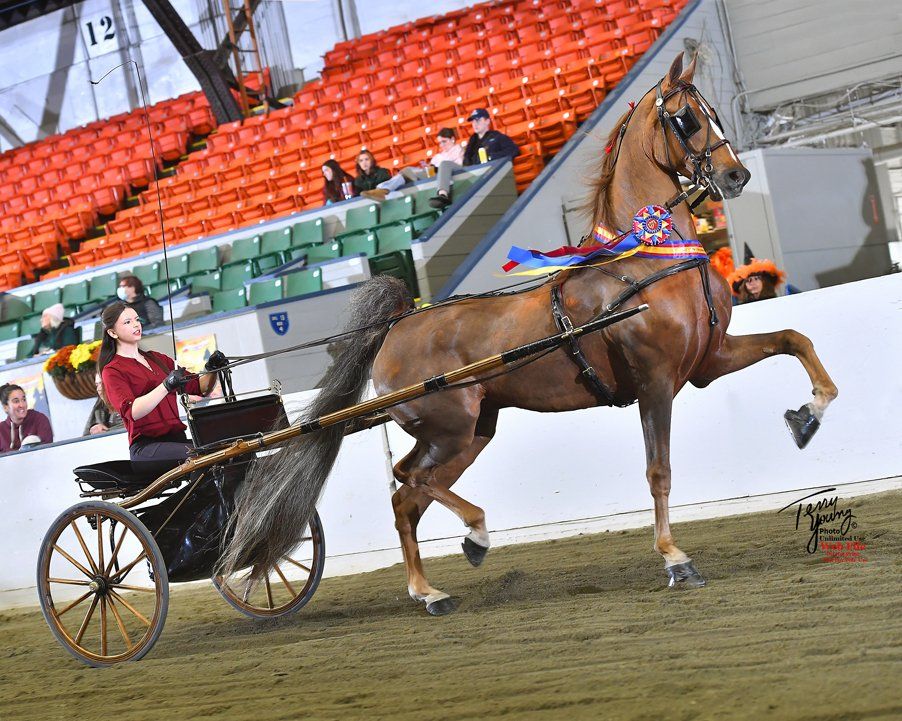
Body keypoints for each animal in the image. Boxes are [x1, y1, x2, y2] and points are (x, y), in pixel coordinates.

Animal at [219, 53, 838, 615]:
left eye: (713, 110)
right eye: (685, 119)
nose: (736, 176)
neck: (648, 261)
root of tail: (397, 325)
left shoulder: (708, 361)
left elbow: (794, 338)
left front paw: (809, 414)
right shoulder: (656, 381)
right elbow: (658, 470)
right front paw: (675, 559)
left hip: (471, 432)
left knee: (406, 498)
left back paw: (431, 590)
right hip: (450, 428)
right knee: (408, 482)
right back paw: (472, 536)